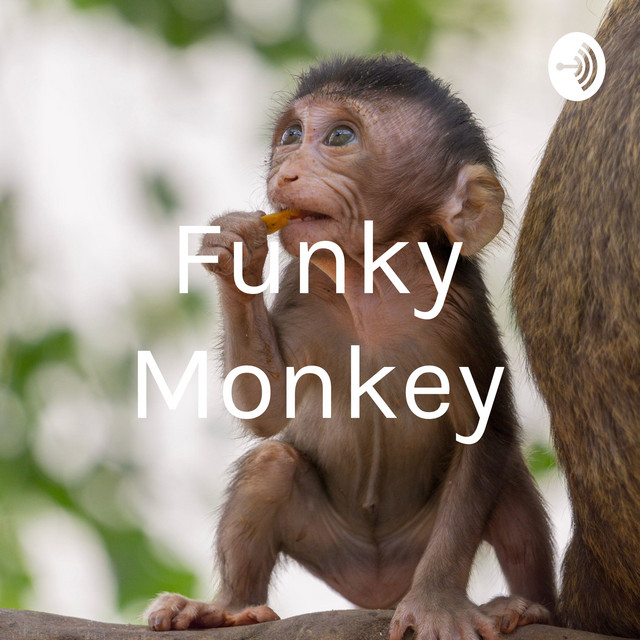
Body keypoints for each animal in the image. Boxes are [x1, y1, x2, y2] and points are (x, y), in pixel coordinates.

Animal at [147, 55, 556, 640]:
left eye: (340, 136)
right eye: (292, 136)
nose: (285, 173)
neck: (370, 285)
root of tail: (377, 588)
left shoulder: (461, 318)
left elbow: (486, 436)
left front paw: (437, 603)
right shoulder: (304, 290)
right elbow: (268, 411)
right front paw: (238, 252)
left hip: (417, 544)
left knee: (511, 479)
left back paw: (531, 606)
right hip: (333, 545)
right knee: (271, 462)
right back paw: (226, 606)